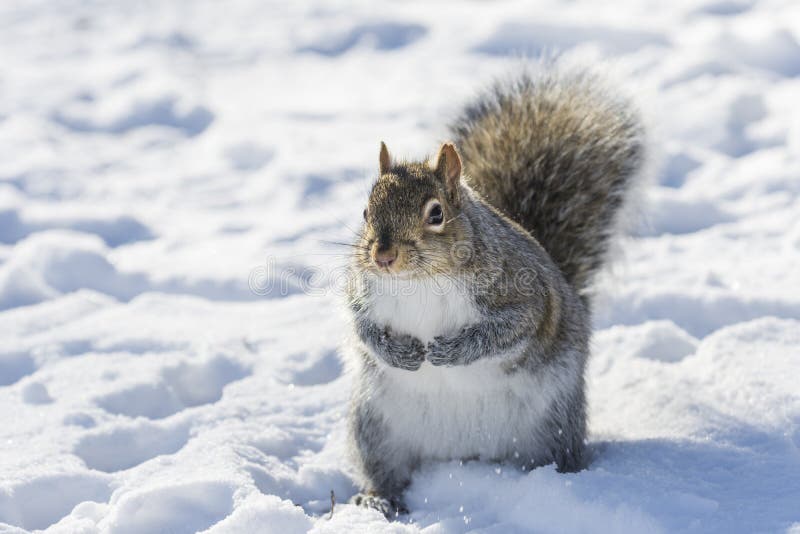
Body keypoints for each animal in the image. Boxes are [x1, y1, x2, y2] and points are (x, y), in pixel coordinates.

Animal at [343, 66, 645, 517]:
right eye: (365, 212)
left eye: (436, 214)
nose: (383, 256)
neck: (421, 279)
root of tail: (462, 454)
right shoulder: (361, 295)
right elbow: (362, 328)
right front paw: (398, 352)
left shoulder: (525, 295)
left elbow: (511, 329)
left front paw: (452, 351)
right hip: (374, 428)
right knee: (384, 470)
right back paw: (378, 499)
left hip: (551, 426)